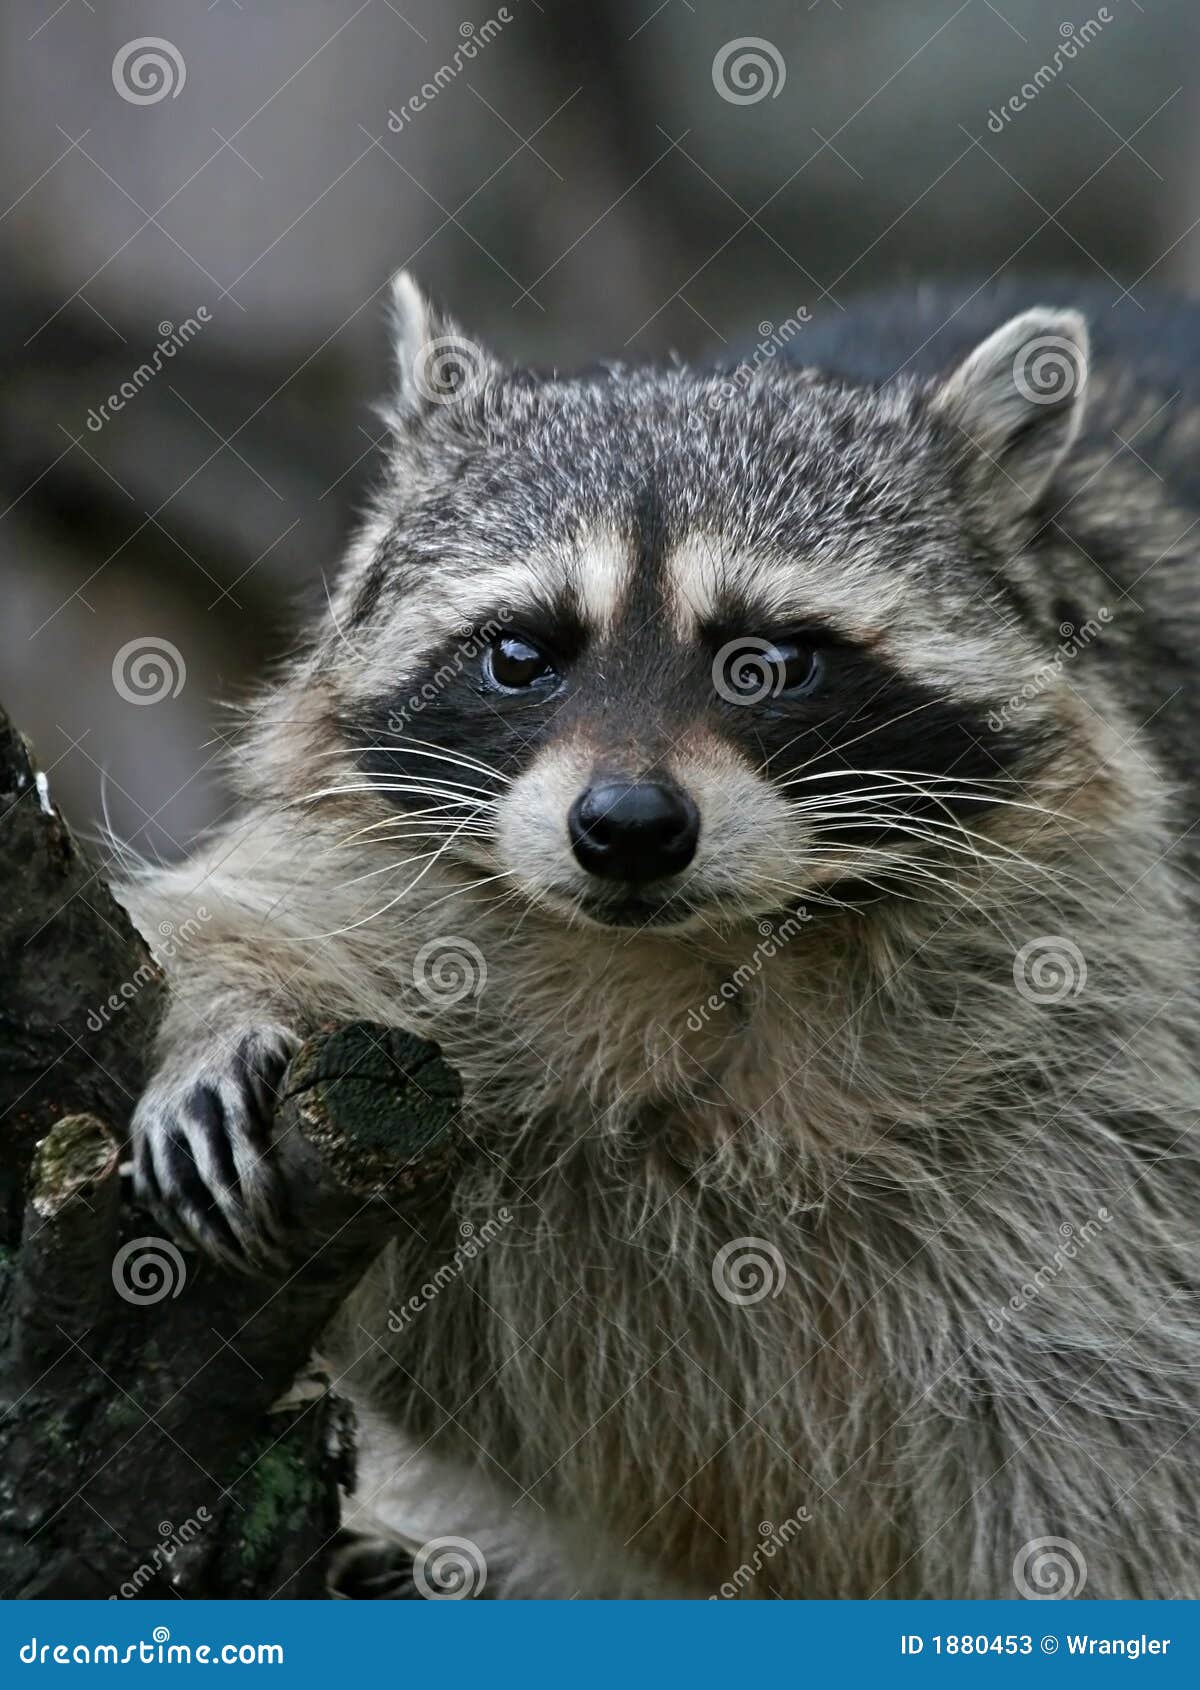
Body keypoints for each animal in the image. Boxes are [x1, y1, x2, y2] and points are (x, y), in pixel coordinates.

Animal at [120, 274, 1200, 1599]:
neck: (698, 957)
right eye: (521, 654)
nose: (629, 827)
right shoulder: (407, 894)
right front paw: (222, 1004)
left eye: (768, 661)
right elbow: (249, 912)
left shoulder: (1094, 1053)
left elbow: (1105, 1428)